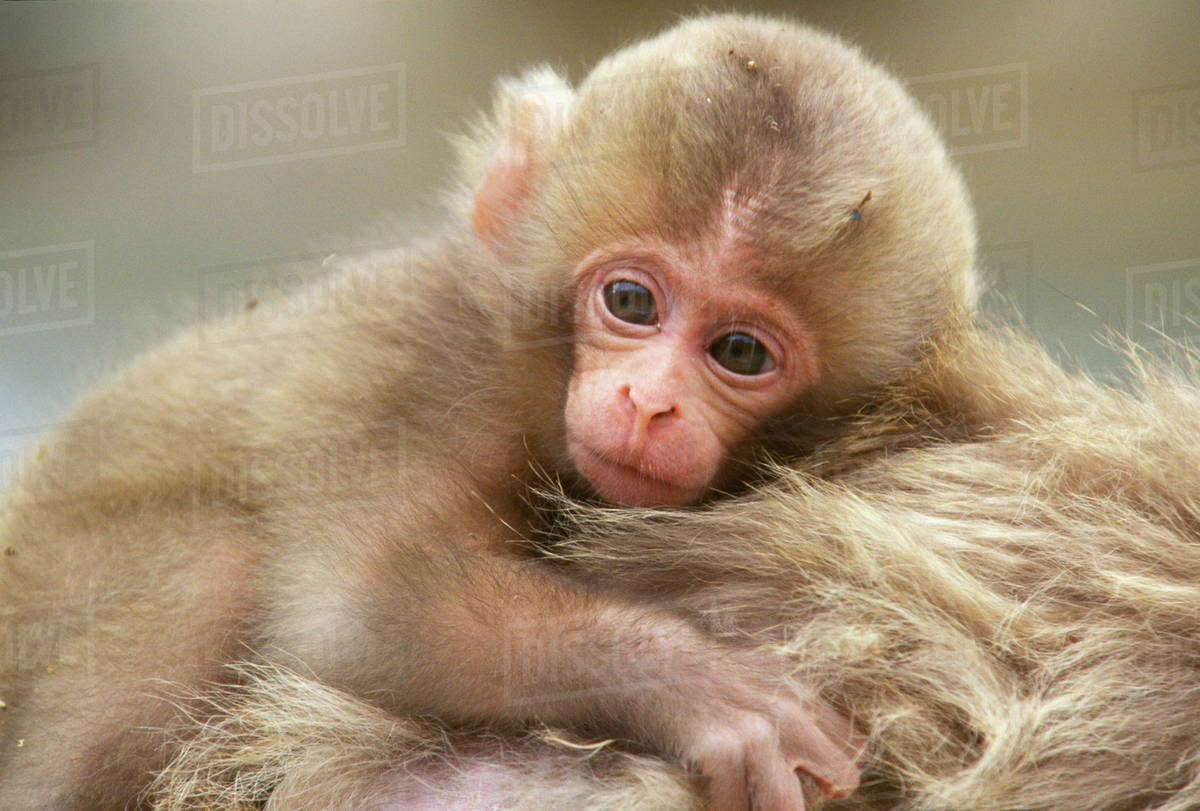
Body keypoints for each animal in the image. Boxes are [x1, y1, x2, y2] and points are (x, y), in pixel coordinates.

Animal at [0, 14, 979, 809]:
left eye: (740, 352)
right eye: (630, 300)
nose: (649, 403)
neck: (535, 370)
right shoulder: (426, 367)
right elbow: (358, 608)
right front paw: (704, 686)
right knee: (221, 566)